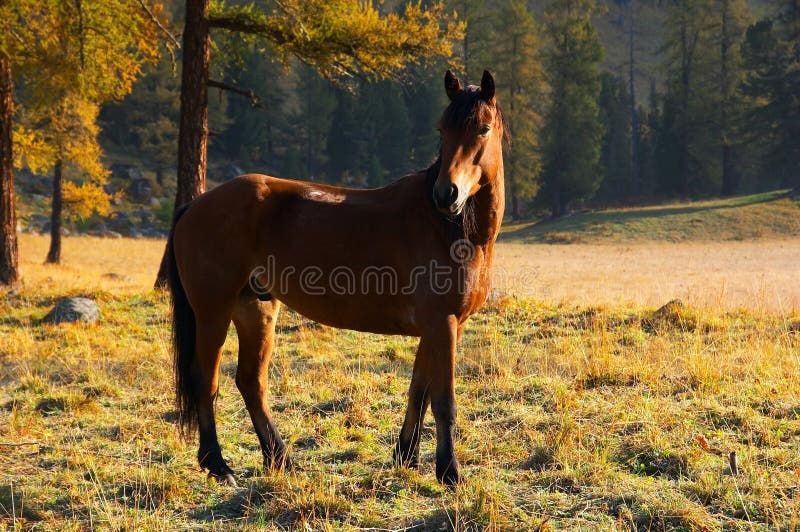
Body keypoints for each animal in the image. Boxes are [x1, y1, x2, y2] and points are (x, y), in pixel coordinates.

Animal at [166, 69, 508, 487]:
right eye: (443, 129)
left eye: (483, 128)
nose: (447, 194)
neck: (449, 228)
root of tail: (196, 204)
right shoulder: (442, 324)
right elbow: (443, 401)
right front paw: (449, 472)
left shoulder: (440, 327)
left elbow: (419, 391)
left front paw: (406, 457)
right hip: (213, 312)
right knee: (206, 381)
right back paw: (219, 465)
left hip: (255, 309)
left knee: (250, 381)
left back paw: (281, 458)